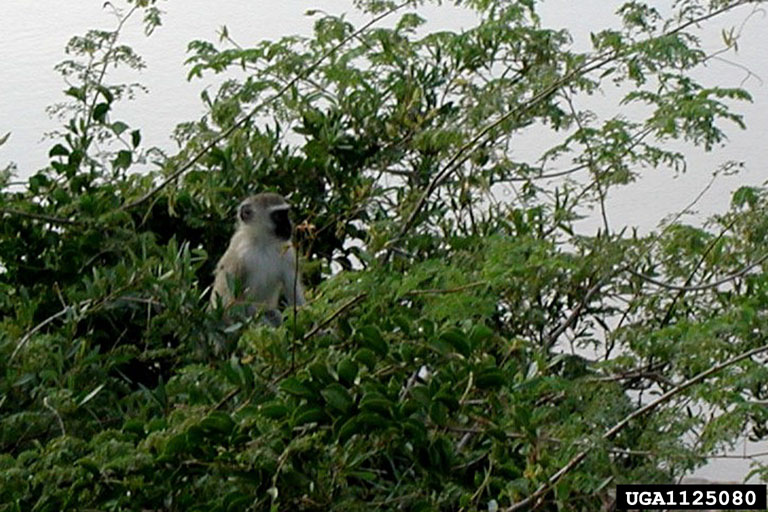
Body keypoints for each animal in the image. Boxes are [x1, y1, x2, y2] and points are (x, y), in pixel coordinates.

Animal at [211, 193, 306, 326]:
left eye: (285, 213)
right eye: (278, 216)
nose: (289, 226)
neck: (262, 243)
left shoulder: (287, 251)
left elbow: (294, 292)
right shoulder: (237, 256)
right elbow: (231, 304)